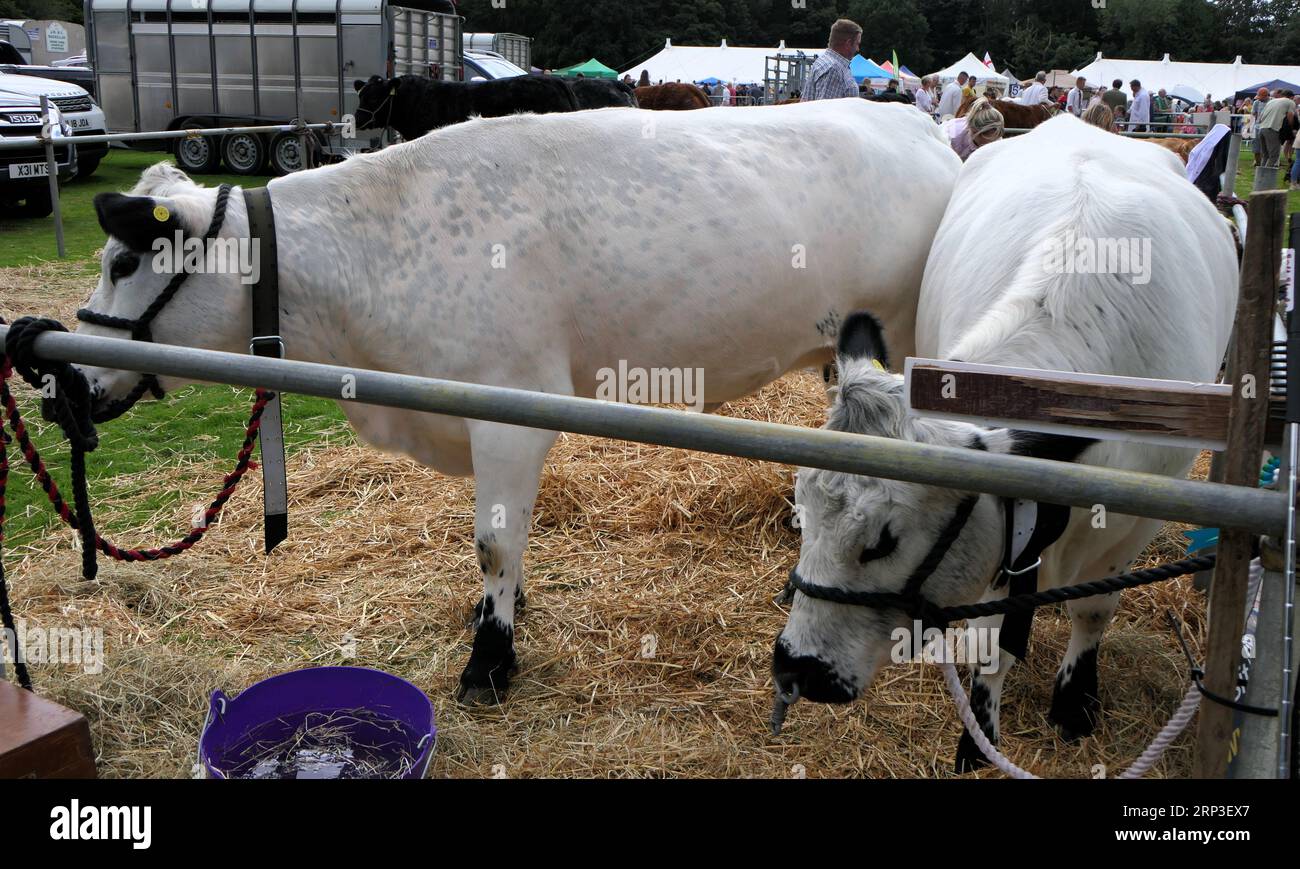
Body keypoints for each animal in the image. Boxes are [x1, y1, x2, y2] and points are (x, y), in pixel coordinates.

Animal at [78, 100, 962, 705]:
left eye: (123, 261)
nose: (68, 385)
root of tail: (909, 118)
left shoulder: (508, 410)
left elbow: (493, 543)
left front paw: (491, 656)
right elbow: (503, 541)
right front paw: (496, 614)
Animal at [771, 114, 1236, 772]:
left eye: (883, 541)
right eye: (802, 514)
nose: (796, 668)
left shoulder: (1136, 518)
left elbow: (1092, 609)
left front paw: (1074, 702)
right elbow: (993, 641)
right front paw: (978, 737)